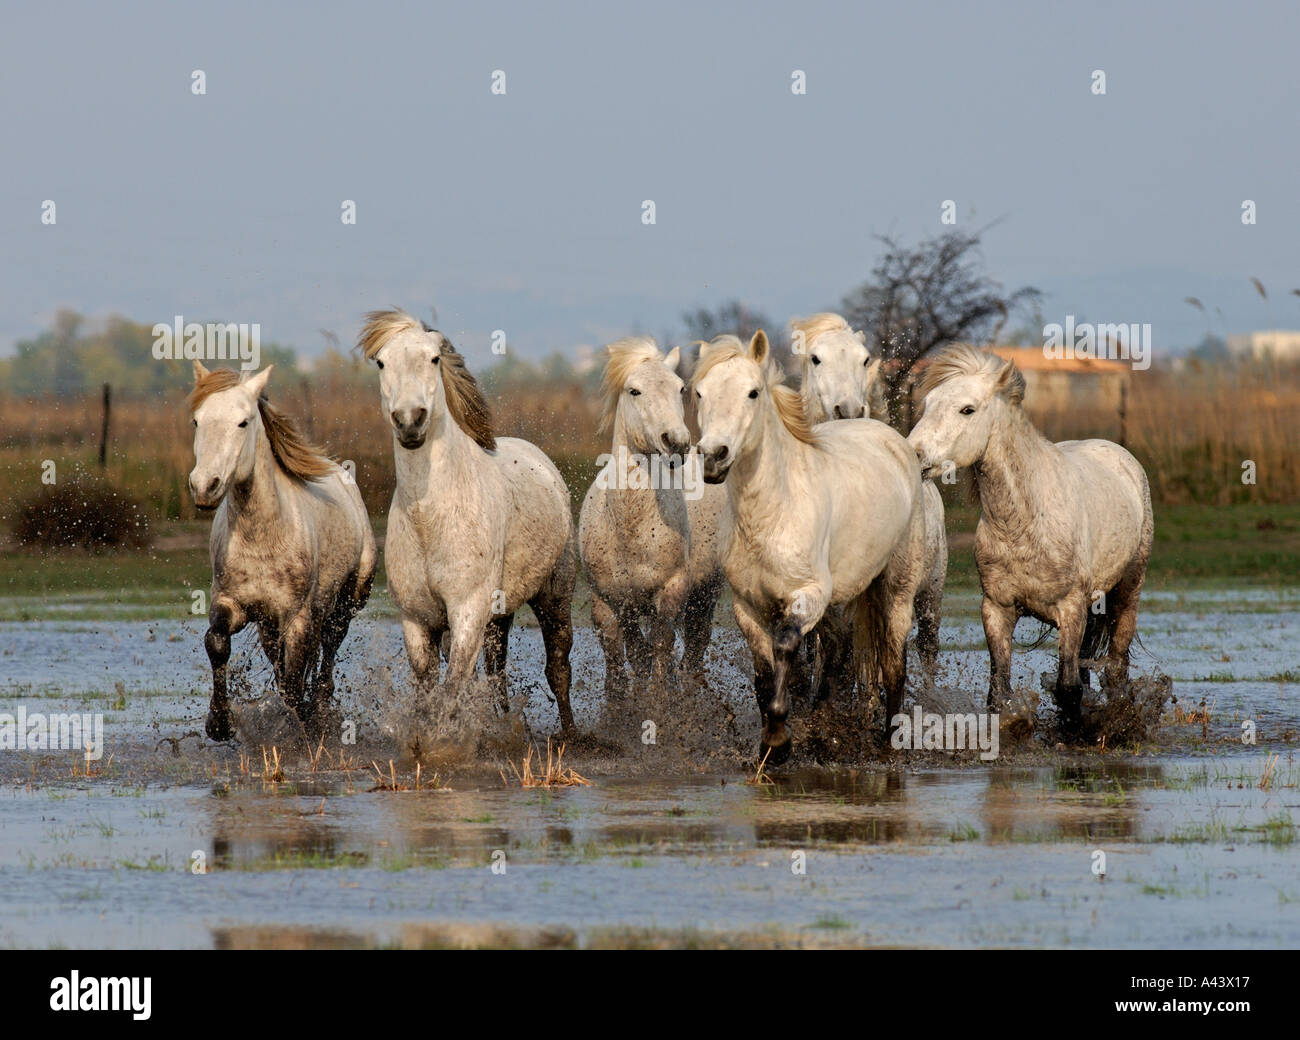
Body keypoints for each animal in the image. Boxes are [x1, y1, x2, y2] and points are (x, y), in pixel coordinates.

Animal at [187, 361, 376, 741]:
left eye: (243, 422)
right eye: (197, 420)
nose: (204, 486)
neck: (262, 537)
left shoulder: (297, 617)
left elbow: (293, 680)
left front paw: (298, 728)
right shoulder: (233, 602)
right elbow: (217, 643)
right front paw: (220, 724)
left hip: (345, 601)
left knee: (328, 650)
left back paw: (319, 711)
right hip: (269, 623)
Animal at [358, 309, 577, 733]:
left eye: (433, 359)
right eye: (381, 363)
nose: (409, 421)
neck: (430, 521)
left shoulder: (468, 611)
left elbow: (452, 691)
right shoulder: (417, 620)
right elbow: (429, 695)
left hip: (554, 597)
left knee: (558, 669)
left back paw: (572, 734)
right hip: (500, 614)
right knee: (496, 673)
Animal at [578, 337, 726, 696]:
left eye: (680, 388)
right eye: (635, 391)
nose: (678, 442)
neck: (629, 526)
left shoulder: (670, 594)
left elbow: (659, 649)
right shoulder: (609, 602)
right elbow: (622, 656)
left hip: (706, 592)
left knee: (695, 647)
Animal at [692, 330, 927, 760]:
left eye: (753, 393)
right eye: (699, 392)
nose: (714, 456)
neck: (772, 514)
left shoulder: (809, 595)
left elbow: (786, 645)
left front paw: (778, 737)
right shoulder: (748, 607)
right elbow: (765, 672)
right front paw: (775, 739)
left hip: (897, 588)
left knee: (893, 664)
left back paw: (890, 739)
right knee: (837, 649)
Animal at [907, 345, 1153, 730]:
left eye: (967, 409)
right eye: (928, 403)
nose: (912, 452)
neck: (1023, 525)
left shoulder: (1070, 608)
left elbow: (1068, 690)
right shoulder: (997, 609)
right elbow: (999, 691)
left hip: (1127, 591)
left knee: (1115, 667)